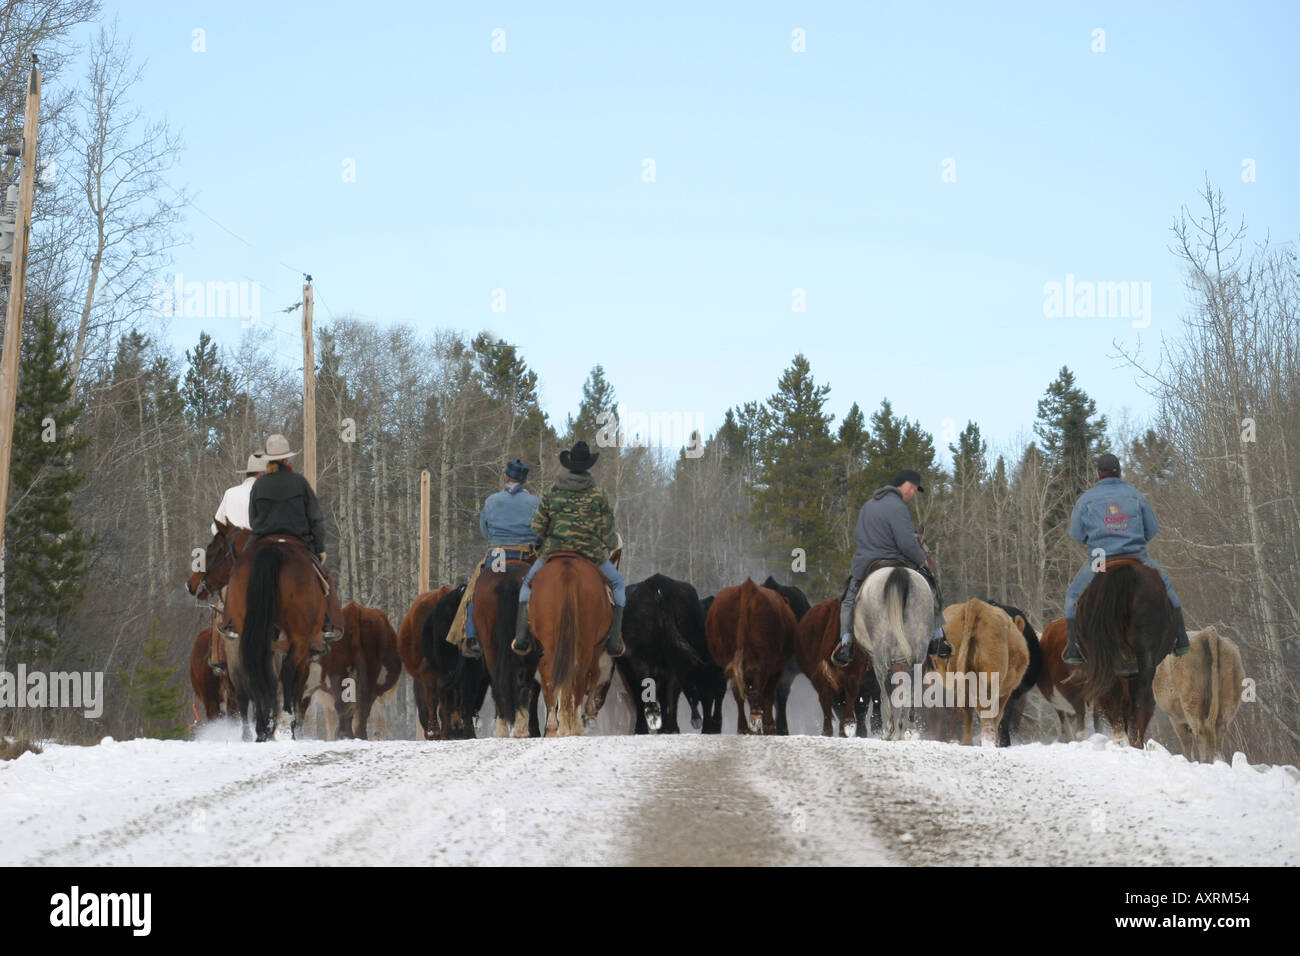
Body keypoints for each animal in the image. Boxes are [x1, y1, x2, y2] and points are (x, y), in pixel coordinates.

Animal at [706, 578, 797, 734]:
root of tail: (747, 587)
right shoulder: (777, 670)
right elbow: (768, 695)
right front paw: (768, 727)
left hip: (731, 660)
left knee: (740, 693)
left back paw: (743, 728)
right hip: (764, 663)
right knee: (758, 693)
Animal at [933, 598, 1029, 747]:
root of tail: (975, 605)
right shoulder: (1006, 692)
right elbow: (1000, 715)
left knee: (966, 711)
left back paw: (967, 742)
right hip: (990, 678)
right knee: (986, 712)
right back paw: (988, 740)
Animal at [1153, 625, 1246, 764]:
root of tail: (1208, 632)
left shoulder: (1176, 719)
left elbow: (1186, 743)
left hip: (1192, 704)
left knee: (1201, 734)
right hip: (1228, 702)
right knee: (1218, 733)